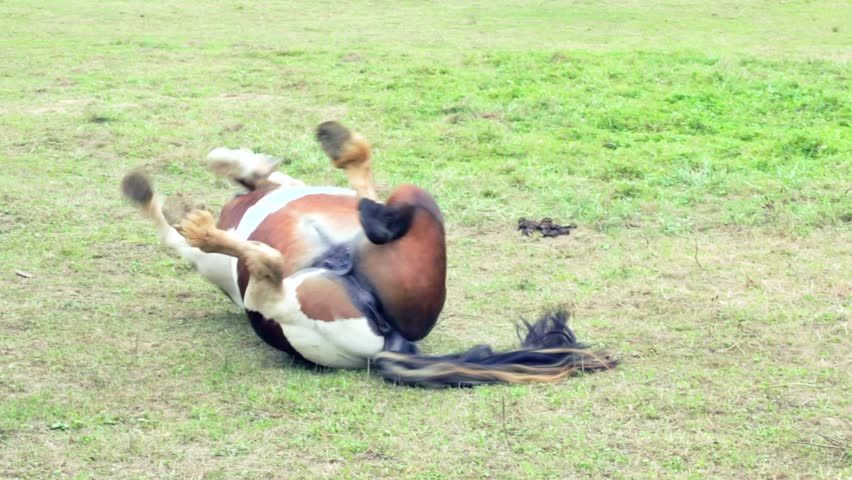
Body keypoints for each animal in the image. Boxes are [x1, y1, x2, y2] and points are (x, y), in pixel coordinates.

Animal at [121, 121, 616, 387]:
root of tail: (393, 346)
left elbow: (191, 204)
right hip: (405, 268)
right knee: (394, 205)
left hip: (300, 297)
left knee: (269, 271)